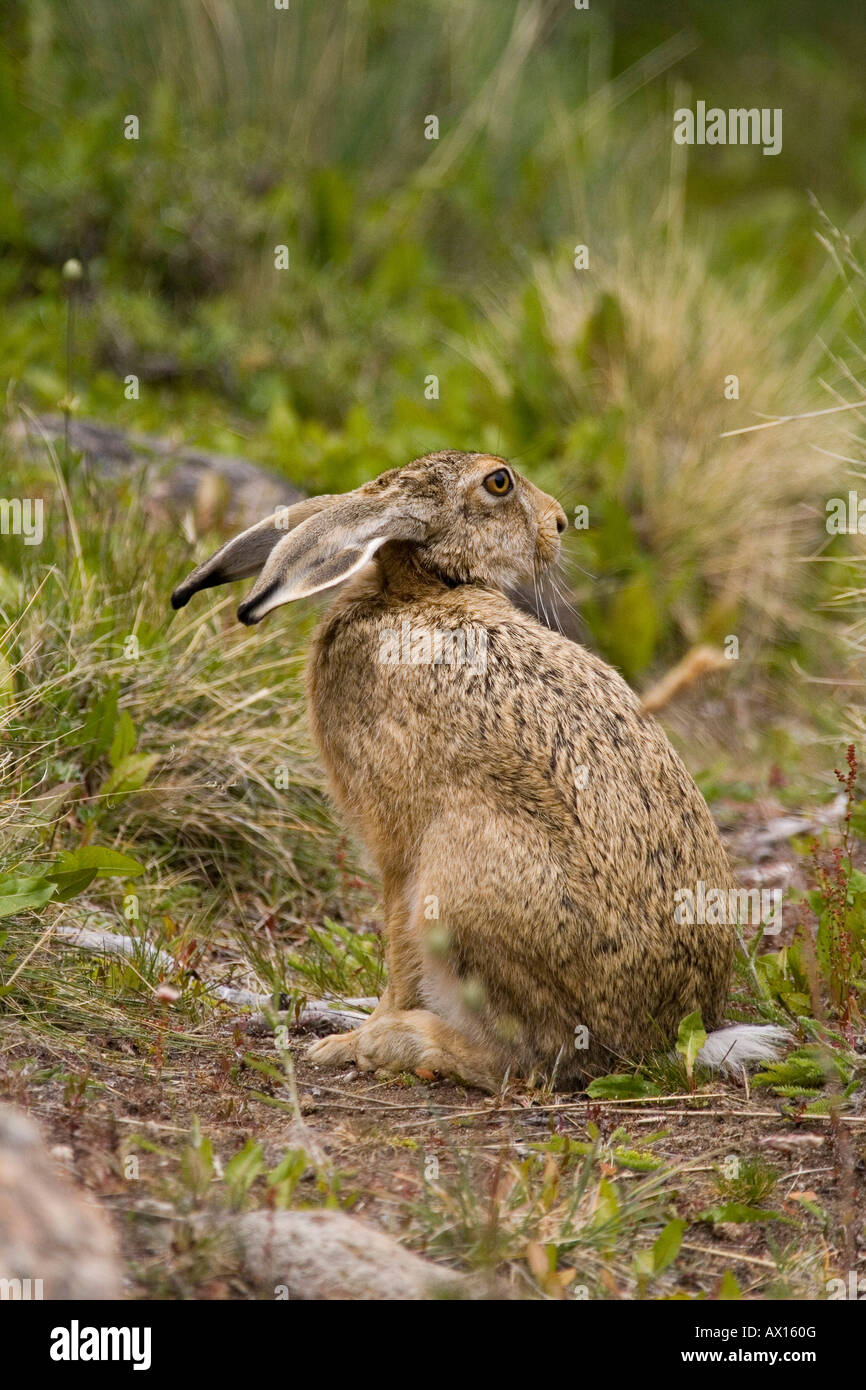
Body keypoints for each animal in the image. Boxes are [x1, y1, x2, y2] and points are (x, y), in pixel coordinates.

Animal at [171, 451, 789, 1090]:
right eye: (500, 483)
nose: (558, 522)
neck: (417, 591)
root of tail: (664, 1038)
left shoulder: (398, 853)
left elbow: (398, 951)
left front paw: (351, 1039)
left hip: (457, 892)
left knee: (528, 1058)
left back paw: (395, 1041)